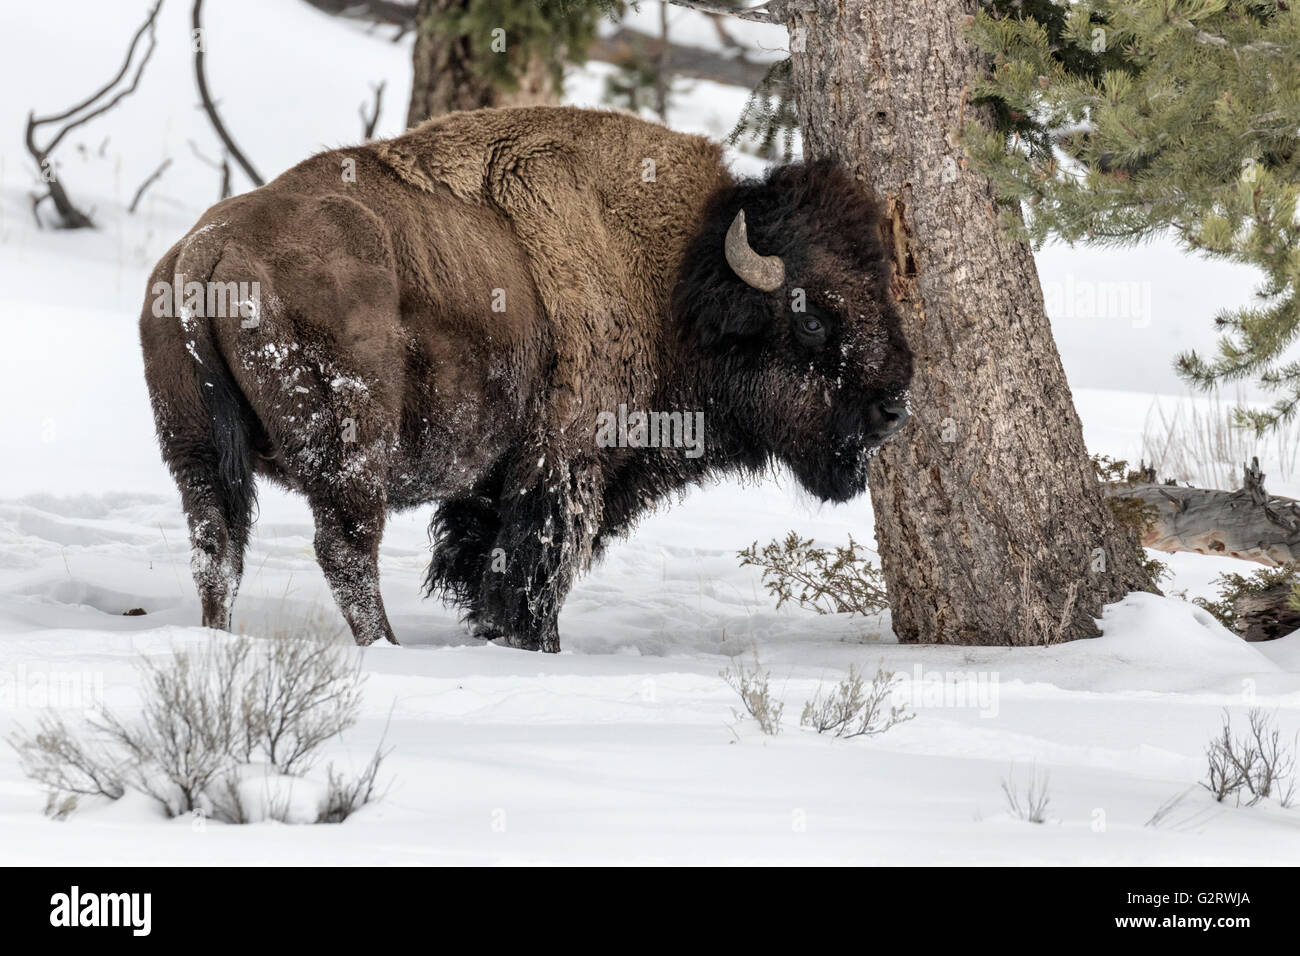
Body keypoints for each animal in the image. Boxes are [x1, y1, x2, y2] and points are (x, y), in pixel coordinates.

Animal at [139, 106, 912, 651]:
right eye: (812, 320)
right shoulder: (565, 461)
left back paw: (218, 637)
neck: (676, 277)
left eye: (884, 288)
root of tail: (210, 251)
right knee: (344, 549)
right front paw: (537, 646)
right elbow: (534, 572)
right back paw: (386, 648)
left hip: (193, 451)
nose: (893, 408)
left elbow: (483, 560)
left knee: (218, 547)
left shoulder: (493, 482)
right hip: (349, 455)